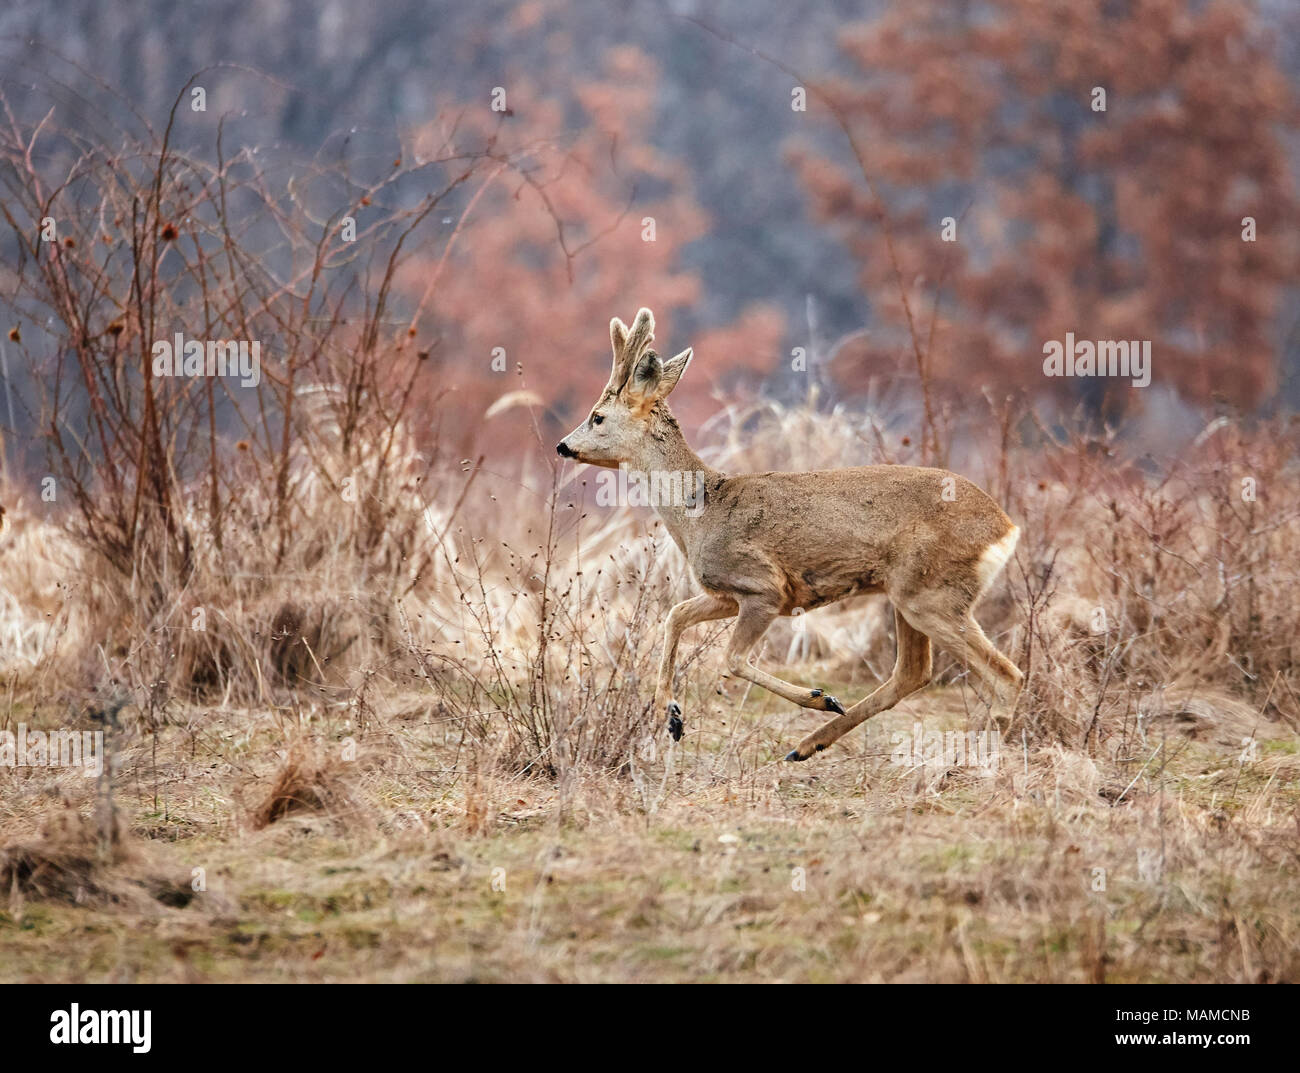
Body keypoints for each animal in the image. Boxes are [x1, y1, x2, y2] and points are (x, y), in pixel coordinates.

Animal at [557, 308, 1023, 762]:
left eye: (597, 417)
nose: (562, 445)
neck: (701, 512)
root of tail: (1007, 528)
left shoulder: (764, 586)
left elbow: (733, 658)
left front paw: (818, 696)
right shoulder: (726, 592)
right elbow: (676, 615)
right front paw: (672, 717)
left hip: (931, 592)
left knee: (1006, 676)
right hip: (909, 595)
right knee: (913, 672)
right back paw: (806, 746)